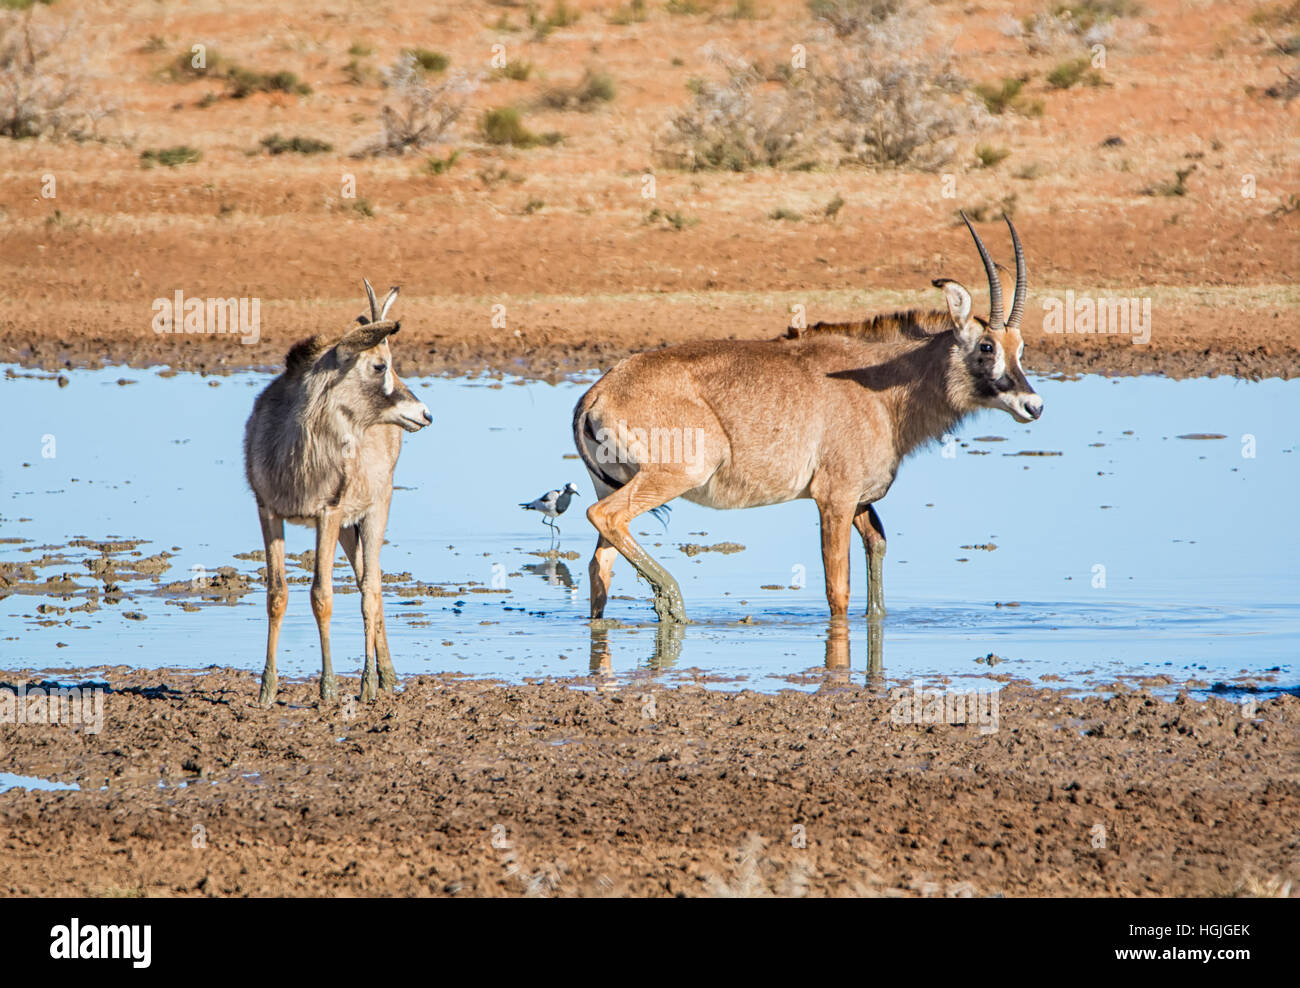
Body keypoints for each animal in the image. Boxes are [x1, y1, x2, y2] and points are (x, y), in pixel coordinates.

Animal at [244, 279, 432, 704]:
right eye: (379, 365)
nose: (425, 413)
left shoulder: (325, 514)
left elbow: (322, 595)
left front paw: (328, 687)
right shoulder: (268, 511)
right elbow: (276, 594)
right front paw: (267, 690)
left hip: (375, 511)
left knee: (371, 588)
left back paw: (369, 683)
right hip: (349, 526)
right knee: (365, 579)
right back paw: (387, 676)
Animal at [573, 213, 1042, 624]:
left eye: (1019, 348)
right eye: (986, 346)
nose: (1033, 406)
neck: (880, 386)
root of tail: (598, 393)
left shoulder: (860, 500)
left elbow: (877, 550)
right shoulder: (834, 498)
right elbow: (839, 590)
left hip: (612, 483)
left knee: (600, 568)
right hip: (676, 474)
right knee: (606, 518)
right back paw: (672, 605)